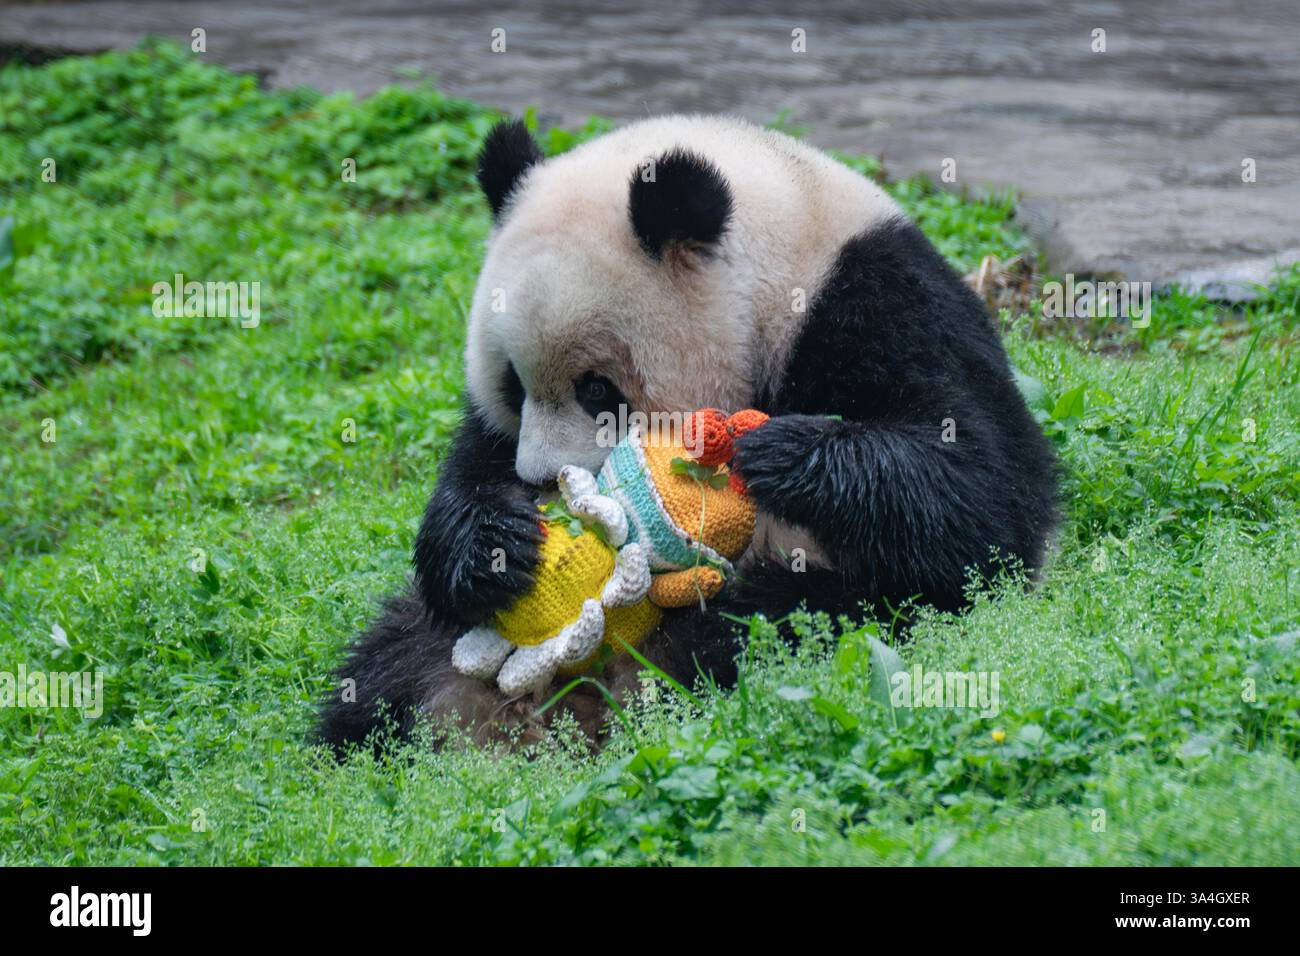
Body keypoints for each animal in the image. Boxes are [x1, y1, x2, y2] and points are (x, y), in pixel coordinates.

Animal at [316, 115, 1059, 751]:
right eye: (512, 386)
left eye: (596, 390)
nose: (539, 483)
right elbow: (471, 468)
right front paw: (495, 540)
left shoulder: (881, 304)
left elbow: (985, 499)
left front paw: (781, 453)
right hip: (434, 650)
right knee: (390, 663)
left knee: (789, 619)